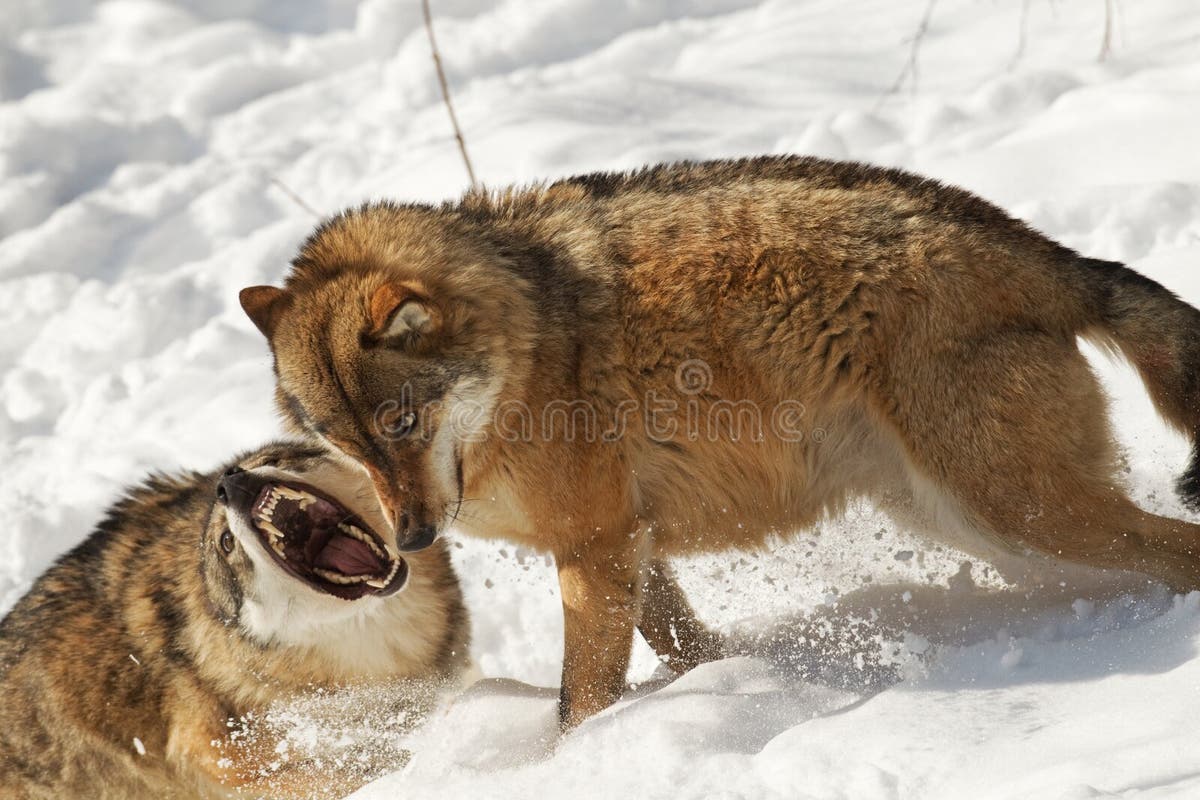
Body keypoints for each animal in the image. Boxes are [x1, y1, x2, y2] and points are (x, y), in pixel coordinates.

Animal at [239, 155, 1200, 728]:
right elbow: (679, 645)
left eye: (401, 424)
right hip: (968, 520)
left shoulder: (595, 546)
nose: (413, 539)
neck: (533, 343)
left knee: (1176, 548)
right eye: (343, 441)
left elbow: (580, 697)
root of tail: (1049, 257)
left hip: (1019, 510)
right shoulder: (627, 544)